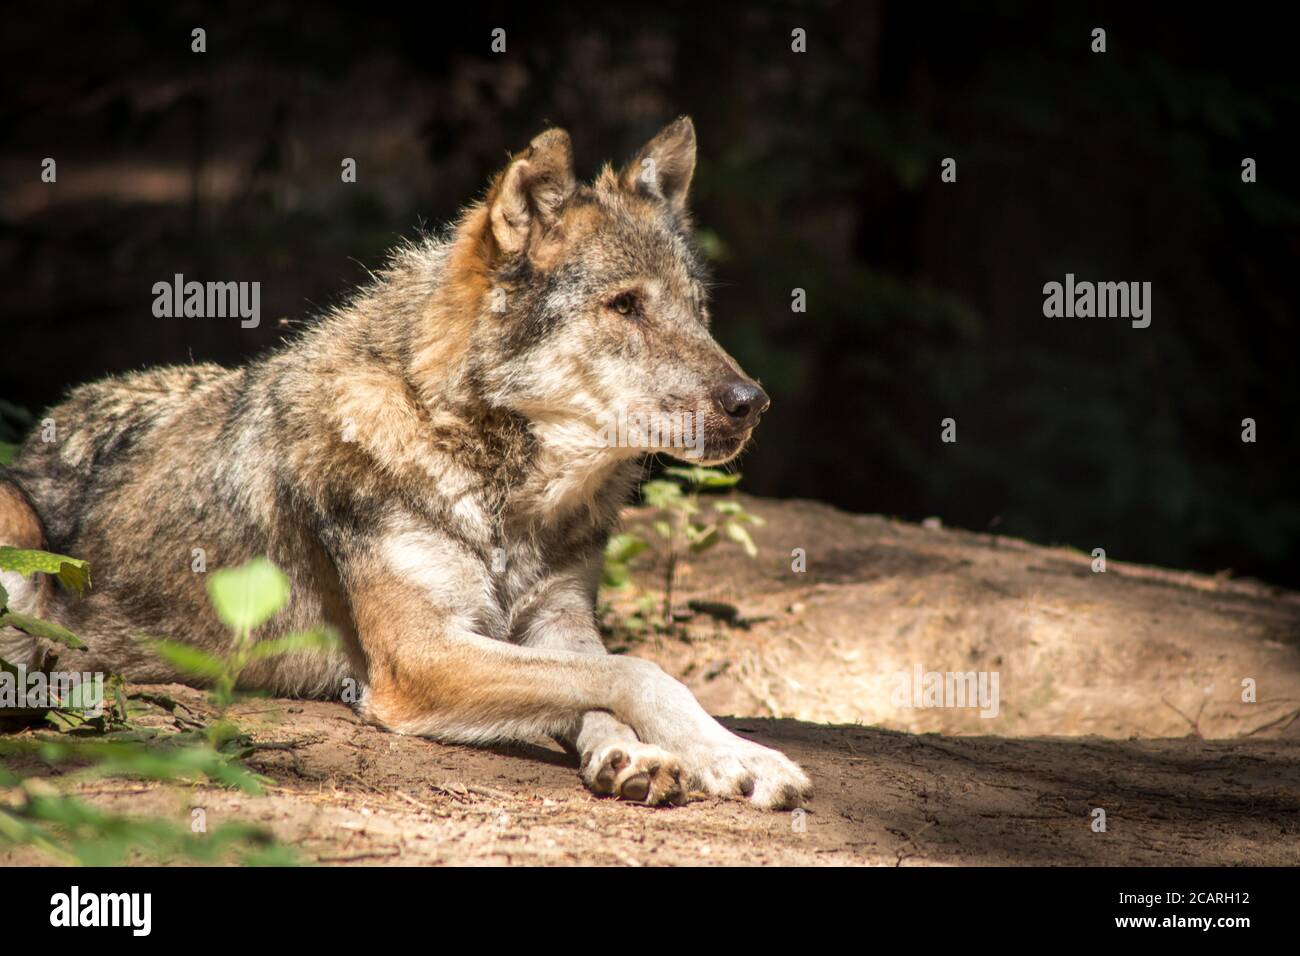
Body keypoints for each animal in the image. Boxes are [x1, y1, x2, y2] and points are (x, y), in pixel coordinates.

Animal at [0, 118, 812, 809]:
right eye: (625, 306)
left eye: (696, 309)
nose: (755, 401)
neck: (501, 496)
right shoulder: (421, 655)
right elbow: (640, 670)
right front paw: (739, 755)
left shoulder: (557, 622)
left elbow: (599, 683)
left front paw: (635, 754)